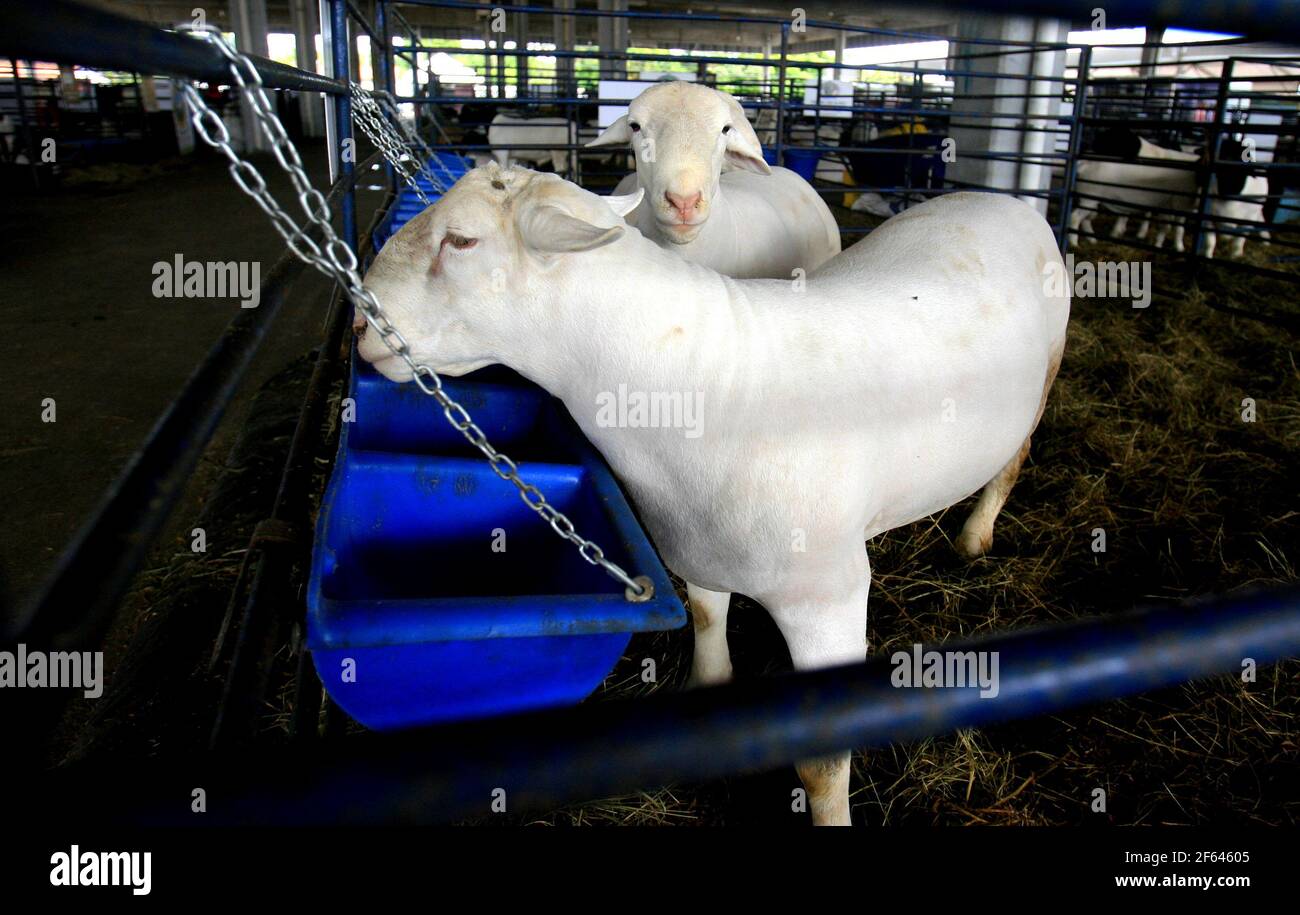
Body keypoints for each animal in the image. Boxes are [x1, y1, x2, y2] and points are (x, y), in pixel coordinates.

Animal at [355, 163, 1071, 826]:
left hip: (1046, 373)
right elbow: (705, 624)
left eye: (462, 240)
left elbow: (821, 766)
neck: (705, 385)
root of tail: (1002, 199)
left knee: (1013, 461)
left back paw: (975, 537)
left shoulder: (828, 596)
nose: (363, 325)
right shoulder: (694, 546)